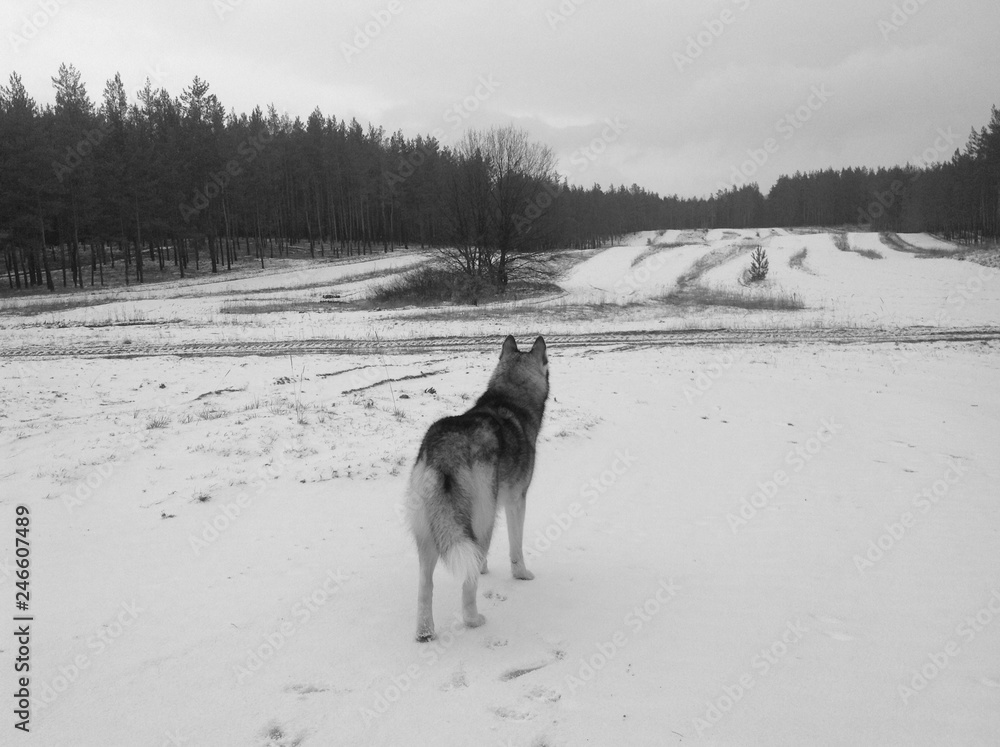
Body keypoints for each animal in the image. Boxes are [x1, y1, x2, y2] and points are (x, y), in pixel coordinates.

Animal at [405, 335, 549, 642]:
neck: (509, 399)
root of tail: (447, 449)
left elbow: (475, 557)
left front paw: (483, 567)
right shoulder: (516, 501)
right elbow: (516, 547)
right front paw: (521, 574)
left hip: (429, 531)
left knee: (425, 586)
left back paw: (425, 632)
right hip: (482, 518)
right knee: (466, 587)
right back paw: (474, 620)